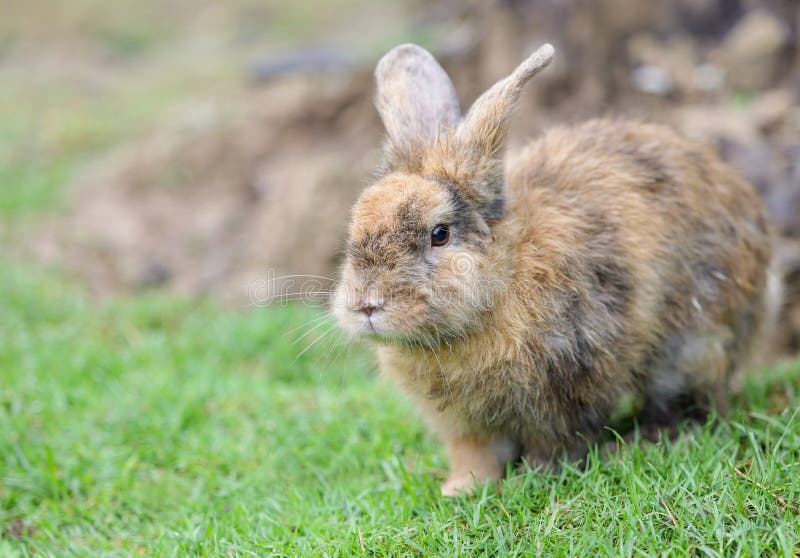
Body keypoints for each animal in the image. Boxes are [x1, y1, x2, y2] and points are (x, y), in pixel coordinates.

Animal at [331, 43, 777, 496]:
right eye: (355, 224)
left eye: (440, 234)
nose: (366, 305)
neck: (506, 278)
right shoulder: (467, 427)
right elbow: (476, 455)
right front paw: (462, 489)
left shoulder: (567, 391)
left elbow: (558, 442)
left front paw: (534, 479)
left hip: (690, 348)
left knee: (691, 406)